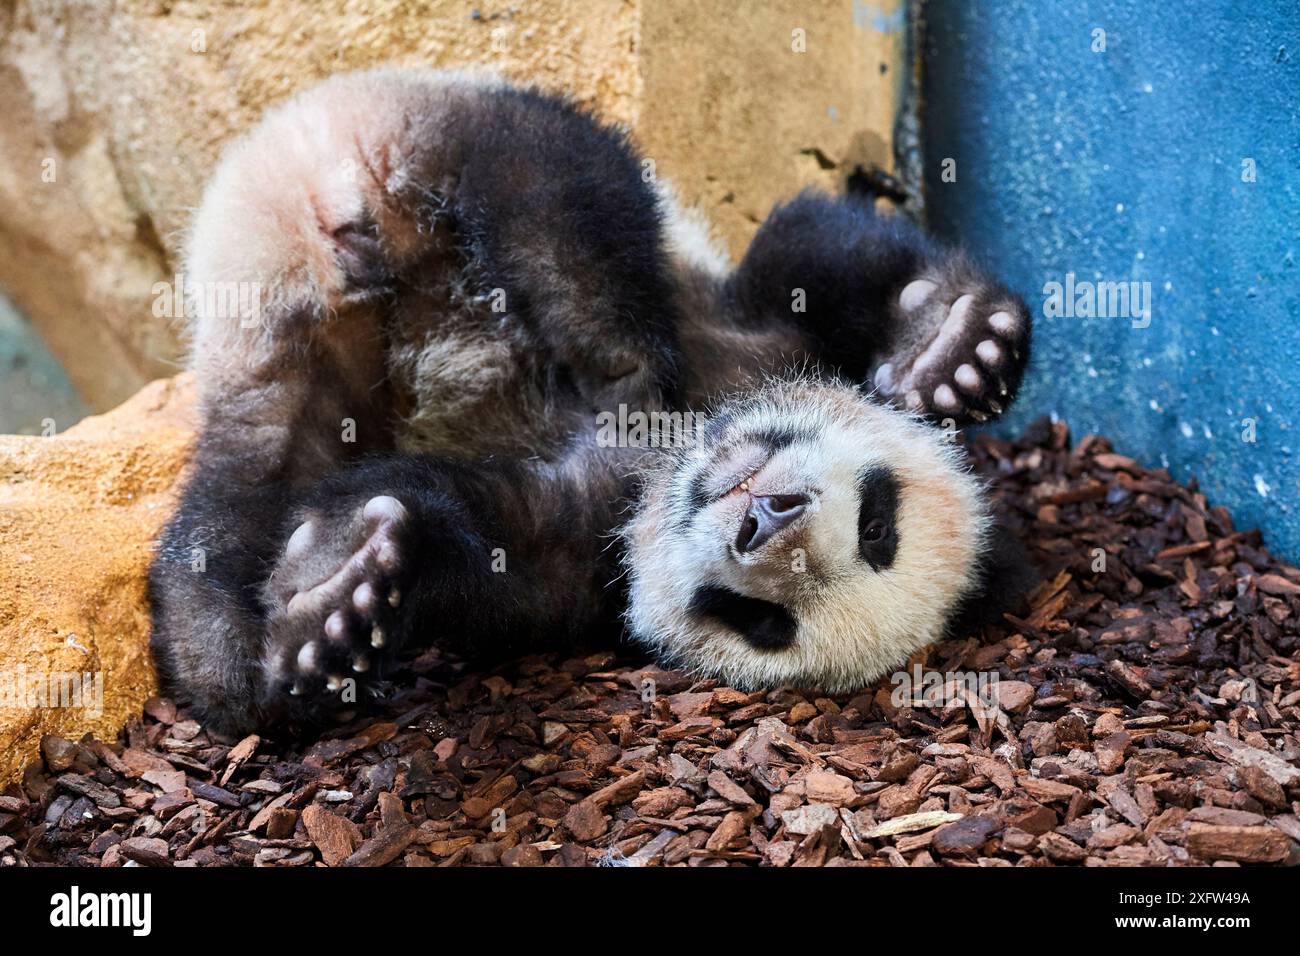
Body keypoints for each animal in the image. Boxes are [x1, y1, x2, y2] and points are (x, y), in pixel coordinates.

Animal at [147, 68, 1034, 734]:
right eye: (879, 525)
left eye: (763, 623)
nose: (763, 520)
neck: (660, 470)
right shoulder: (750, 330)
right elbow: (812, 254)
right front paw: (957, 347)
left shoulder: (577, 563)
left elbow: (470, 537)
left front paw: (337, 606)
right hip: (410, 134)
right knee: (557, 194)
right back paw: (611, 347)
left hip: (283, 340)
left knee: (252, 470)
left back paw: (237, 648)